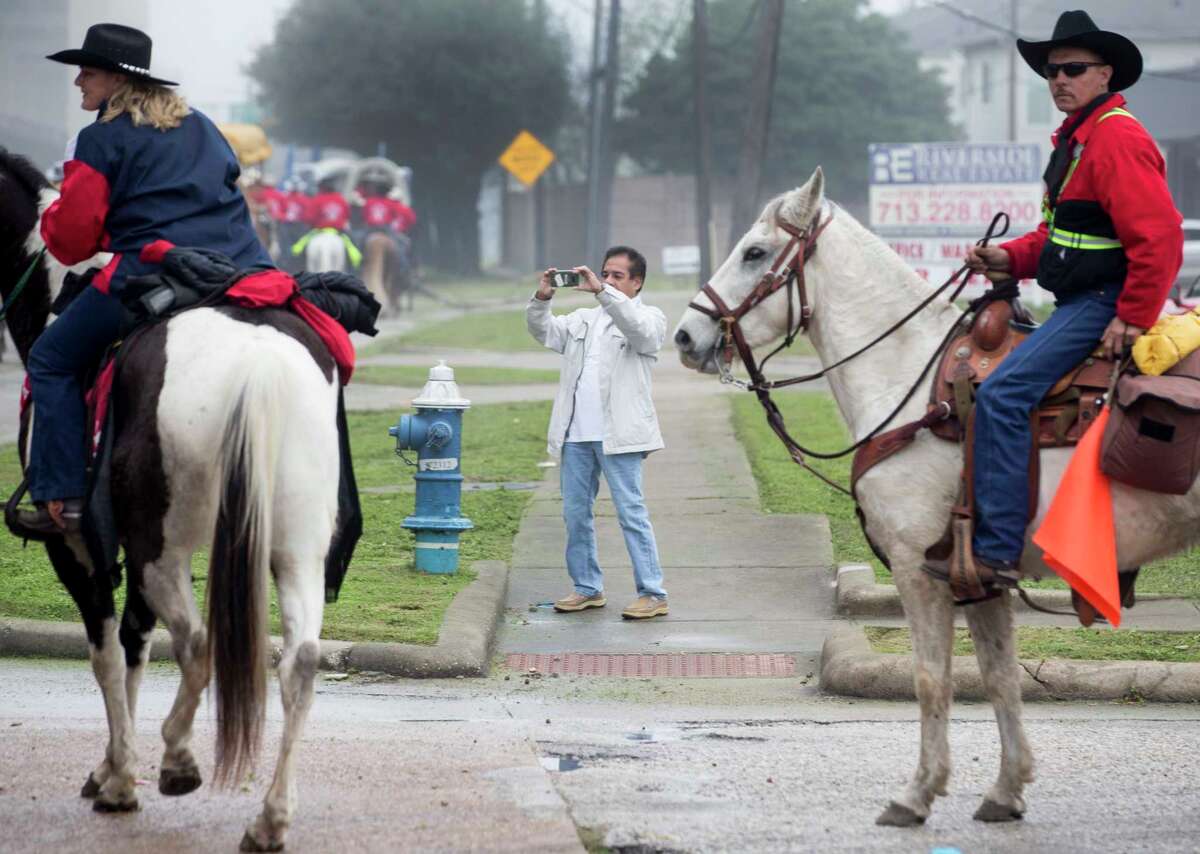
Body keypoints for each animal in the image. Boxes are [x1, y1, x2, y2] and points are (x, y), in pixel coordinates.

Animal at [0, 149, 340, 852]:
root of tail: (258, 357)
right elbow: (135, 645)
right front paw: (112, 767)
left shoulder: (78, 546)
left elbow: (108, 653)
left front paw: (118, 777)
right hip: (295, 547)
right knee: (298, 663)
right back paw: (269, 818)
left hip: (166, 548)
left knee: (199, 642)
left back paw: (179, 758)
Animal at [672, 167, 1200, 826]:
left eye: (754, 253)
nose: (685, 335)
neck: (915, 384)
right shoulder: (976, 576)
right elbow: (1000, 677)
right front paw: (1006, 789)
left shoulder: (916, 566)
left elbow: (930, 678)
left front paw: (917, 793)